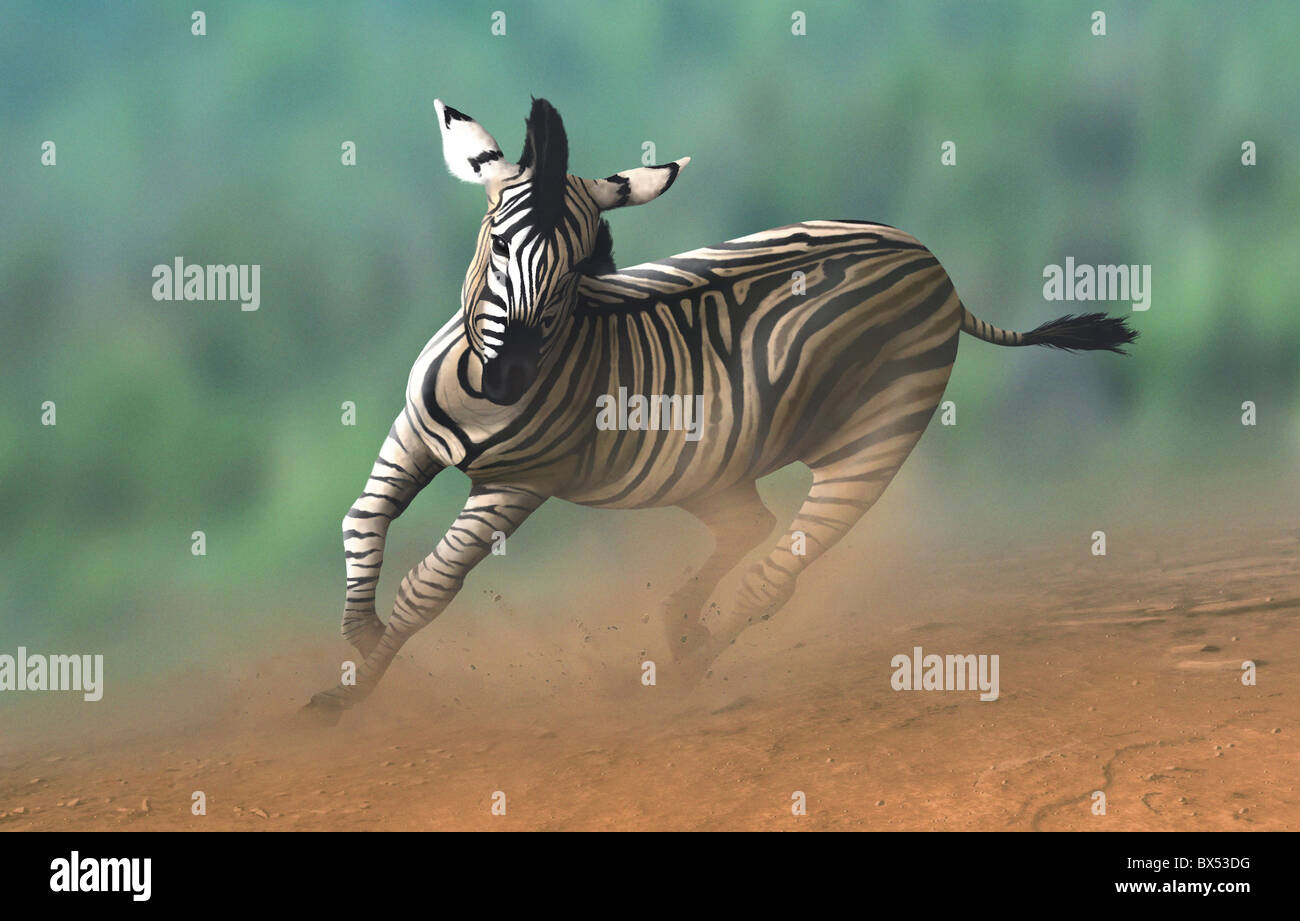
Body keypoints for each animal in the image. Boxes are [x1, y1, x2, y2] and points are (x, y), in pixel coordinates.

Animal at [304, 97, 1136, 721]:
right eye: (499, 243)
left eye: (579, 269)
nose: (511, 378)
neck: (478, 391)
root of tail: (938, 272)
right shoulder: (412, 434)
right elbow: (361, 518)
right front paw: (359, 633)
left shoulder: (518, 486)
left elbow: (428, 586)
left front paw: (351, 693)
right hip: (711, 465)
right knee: (751, 526)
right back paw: (679, 631)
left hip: (874, 441)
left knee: (776, 569)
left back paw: (683, 672)